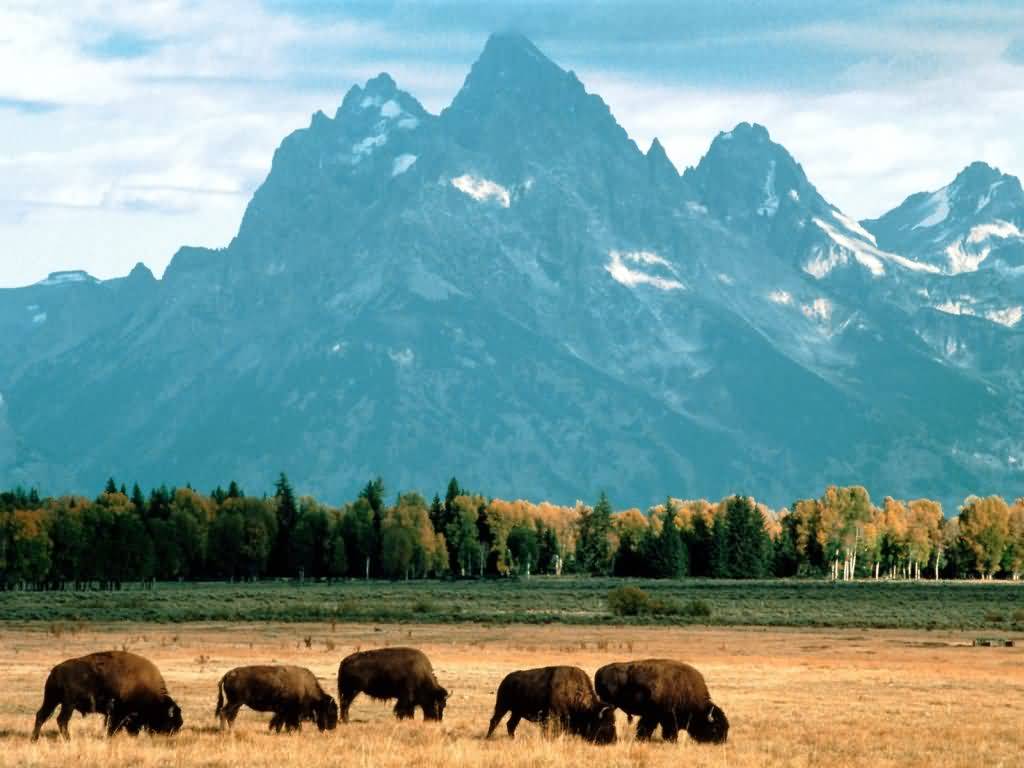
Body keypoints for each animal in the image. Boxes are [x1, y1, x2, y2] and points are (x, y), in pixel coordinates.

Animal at [31, 650, 183, 741]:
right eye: (170, 719)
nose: (173, 733)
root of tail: (55, 671)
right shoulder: (118, 713)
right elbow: (113, 728)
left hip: (52, 700)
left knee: (41, 715)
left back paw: (34, 739)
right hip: (68, 704)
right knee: (62, 720)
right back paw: (68, 740)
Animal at [486, 665, 616, 744]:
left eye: (613, 721)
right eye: (604, 723)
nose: (613, 741)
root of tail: (506, 679)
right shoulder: (550, 718)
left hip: (517, 712)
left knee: (510, 725)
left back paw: (513, 739)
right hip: (502, 706)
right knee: (494, 721)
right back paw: (488, 738)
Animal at [595, 659, 728, 743]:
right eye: (715, 727)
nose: (721, 741)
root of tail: (600, 671)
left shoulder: (653, 716)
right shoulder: (662, 717)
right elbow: (658, 729)